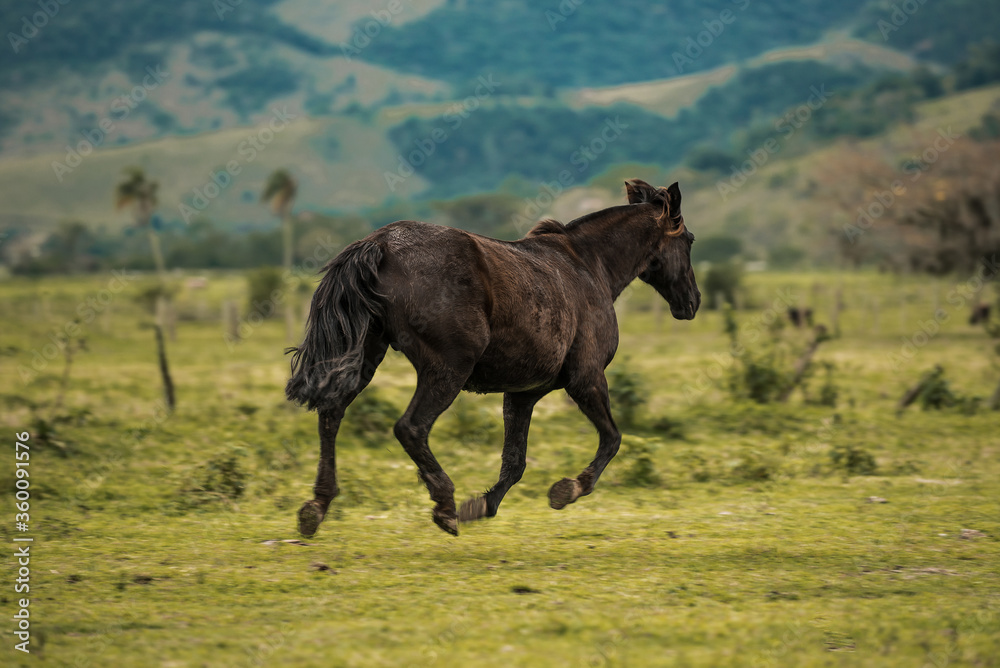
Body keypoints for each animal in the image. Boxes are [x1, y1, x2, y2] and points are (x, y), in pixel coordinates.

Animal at [286, 179, 700, 536]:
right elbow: (612, 438)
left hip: (366, 356)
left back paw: (317, 507)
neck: (588, 266)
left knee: (332, 414)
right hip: (447, 368)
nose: (692, 302)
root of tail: (380, 243)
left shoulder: (523, 393)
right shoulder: (587, 377)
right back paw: (445, 504)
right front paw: (566, 490)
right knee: (410, 427)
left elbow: (515, 462)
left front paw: (482, 505)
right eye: (690, 240)